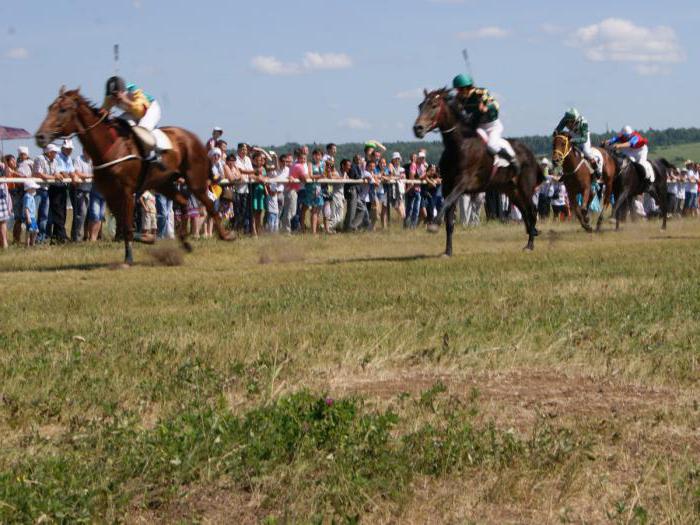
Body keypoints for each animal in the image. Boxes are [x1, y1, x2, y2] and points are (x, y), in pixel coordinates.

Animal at [34, 87, 232, 264]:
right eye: (50, 107)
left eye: (63, 109)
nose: (40, 136)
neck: (109, 147)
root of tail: (193, 138)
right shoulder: (110, 194)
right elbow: (123, 225)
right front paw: (147, 238)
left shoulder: (126, 192)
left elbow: (127, 226)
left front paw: (129, 257)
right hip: (163, 183)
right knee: (183, 201)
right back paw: (185, 242)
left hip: (195, 180)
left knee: (209, 205)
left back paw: (225, 235)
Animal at [412, 89, 544, 253]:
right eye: (420, 105)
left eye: (434, 105)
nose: (417, 128)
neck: (458, 145)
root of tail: (531, 155)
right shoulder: (448, 185)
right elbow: (449, 219)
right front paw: (448, 250)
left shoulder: (462, 183)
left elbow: (446, 202)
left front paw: (434, 225)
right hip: (511, 190)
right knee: (524, 211)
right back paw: (530, 236)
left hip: (525, 188)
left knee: (532, 211)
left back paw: (530, 244)